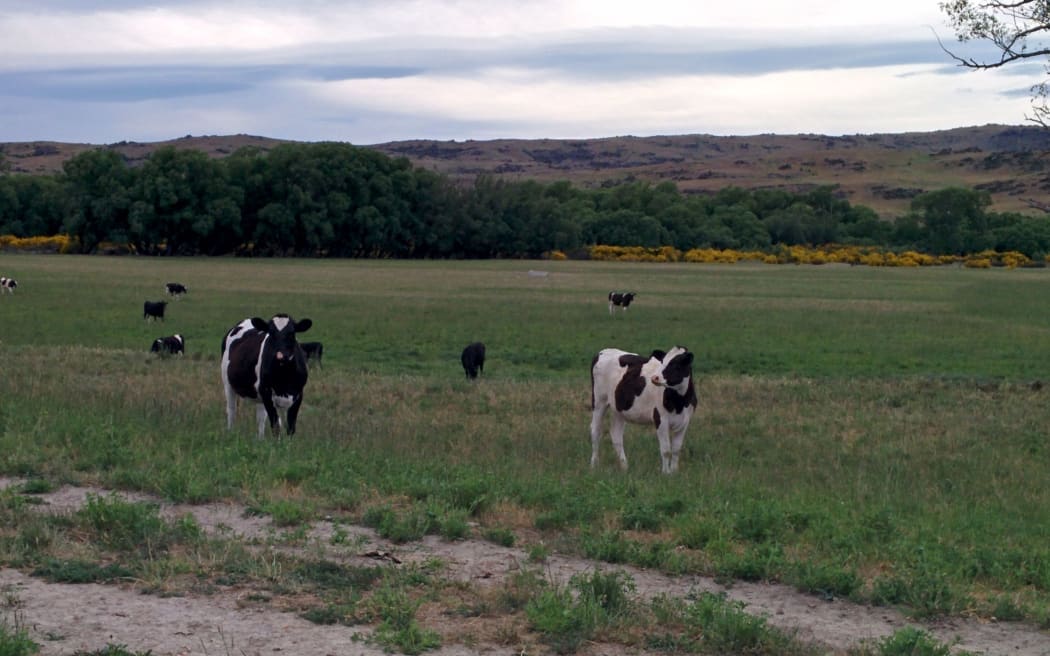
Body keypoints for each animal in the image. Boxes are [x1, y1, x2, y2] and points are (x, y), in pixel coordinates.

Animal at [590, 346, 697, 474]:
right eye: (662, 362)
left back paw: (625, 467)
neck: (679, 403)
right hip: (599, 401)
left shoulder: (685, 421)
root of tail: (604, 351)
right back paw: (594, 465)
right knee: (596, 431)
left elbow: (676, 449)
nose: (655, 378)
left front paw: (674, 472)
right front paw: (666, 473)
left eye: (676, 366)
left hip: (618, 409)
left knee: (616, 435)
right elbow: (666, 450)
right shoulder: (660, 419)